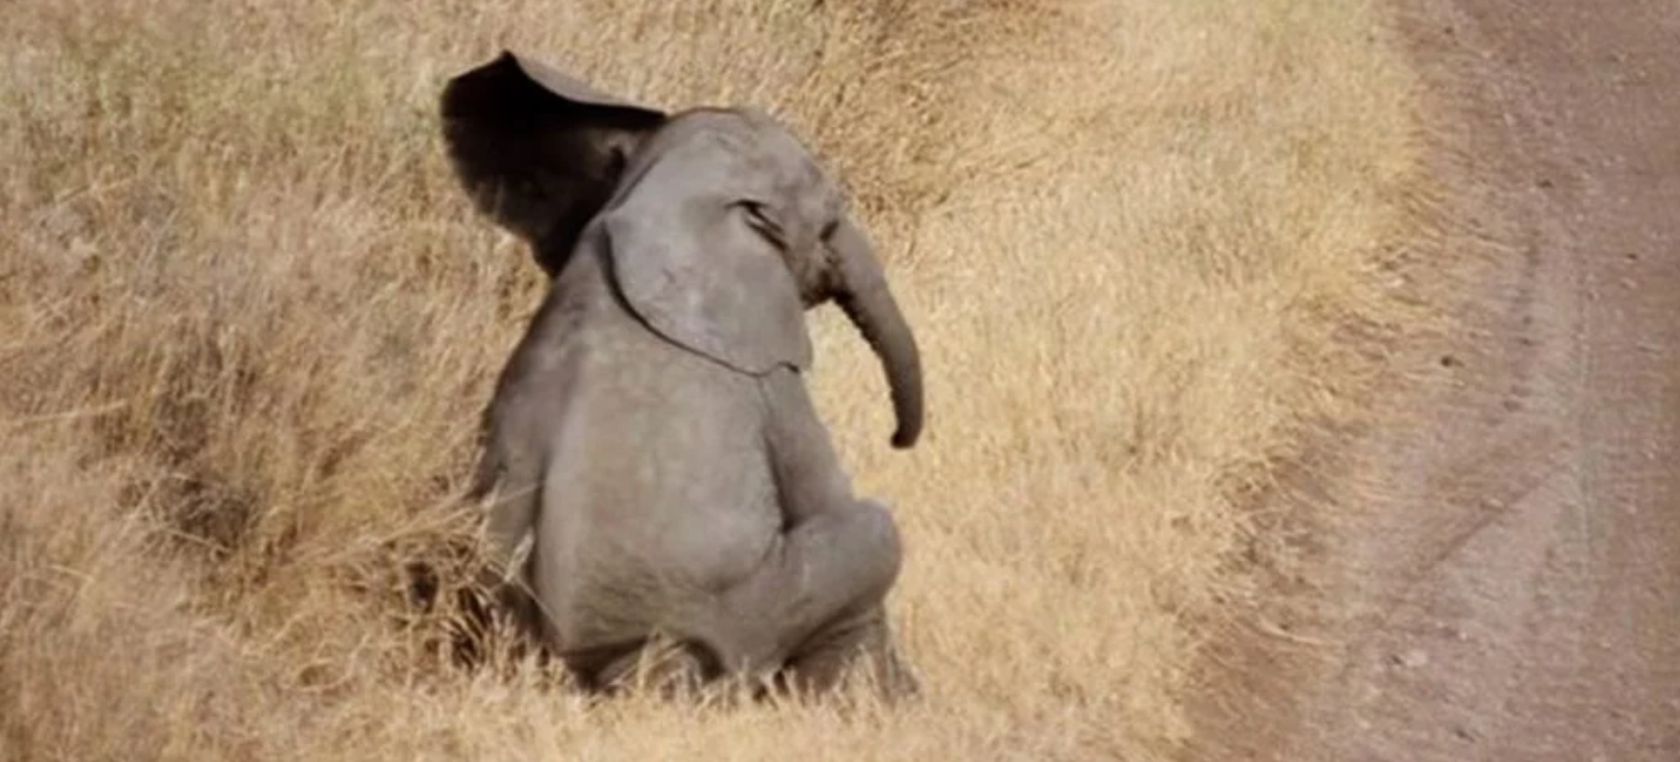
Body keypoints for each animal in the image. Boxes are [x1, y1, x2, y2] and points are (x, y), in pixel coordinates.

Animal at [440, 51, 924, 698]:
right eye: (829, 225)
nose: (897, 438)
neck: (665, 197)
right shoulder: (766, 374)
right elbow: (823, 493)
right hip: (733, 618)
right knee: (875, 534)